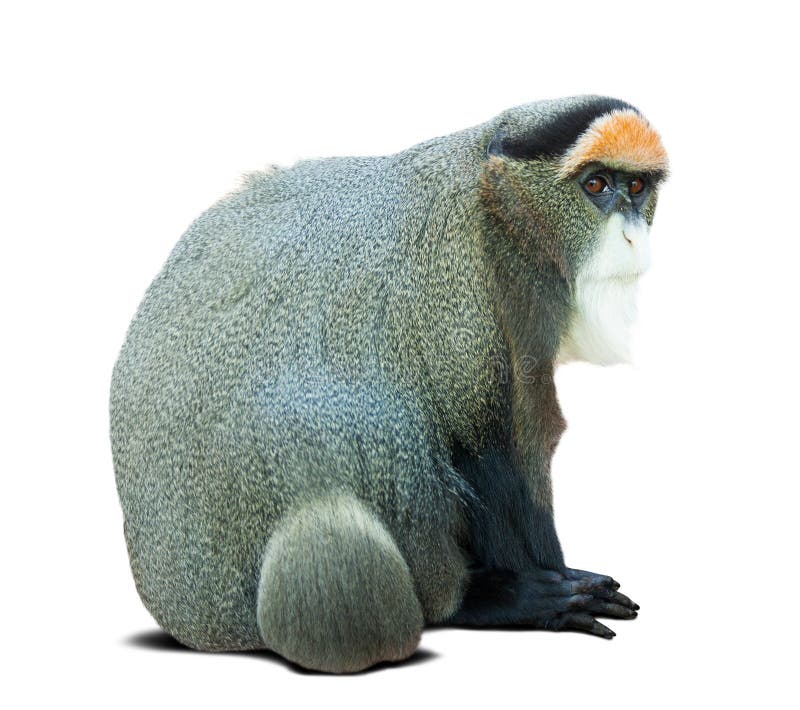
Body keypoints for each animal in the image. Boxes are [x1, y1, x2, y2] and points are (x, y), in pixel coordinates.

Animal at [110, 95, 668, 673]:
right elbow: (485, 443)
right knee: (336, 514)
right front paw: (534, 597)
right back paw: (470, 601)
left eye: (636, 187)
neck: (495, 199)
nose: (633, 236)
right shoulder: (459, 277)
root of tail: (190, 623)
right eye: (596, 185)